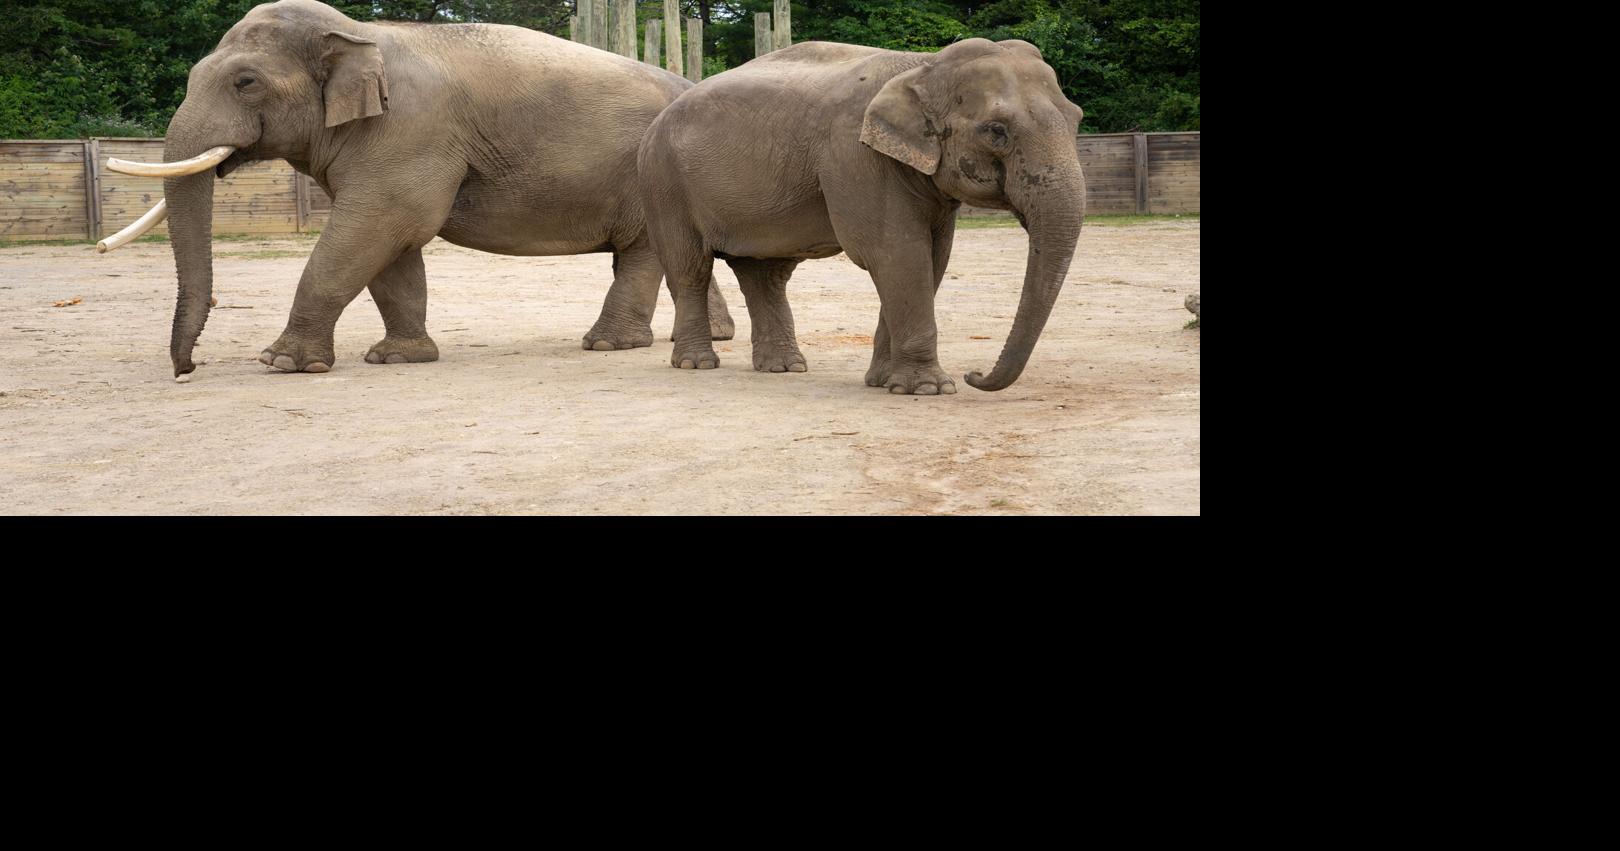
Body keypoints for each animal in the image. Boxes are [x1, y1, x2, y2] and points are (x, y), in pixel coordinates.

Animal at [101, 0, 733, 379]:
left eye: (246, 82)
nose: (186, 370)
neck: (359, 34)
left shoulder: (411, 129)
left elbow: (381, 223)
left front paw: (280, 363)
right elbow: (392, 245)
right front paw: (397, 359)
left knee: (641, 251)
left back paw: (607, 346)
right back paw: (706, 336)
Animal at [637, 38, 1086, 395]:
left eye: (1077, 119)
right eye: (996, 130)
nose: (975, 374)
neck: (924, 65)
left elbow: (930, 259)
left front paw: (884, 382)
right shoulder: (857, 157)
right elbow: (896, 254)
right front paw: (928, 389)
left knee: (764, 275)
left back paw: (784, 368)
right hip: (664, 183)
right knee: (689, 268)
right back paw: (697, 364)